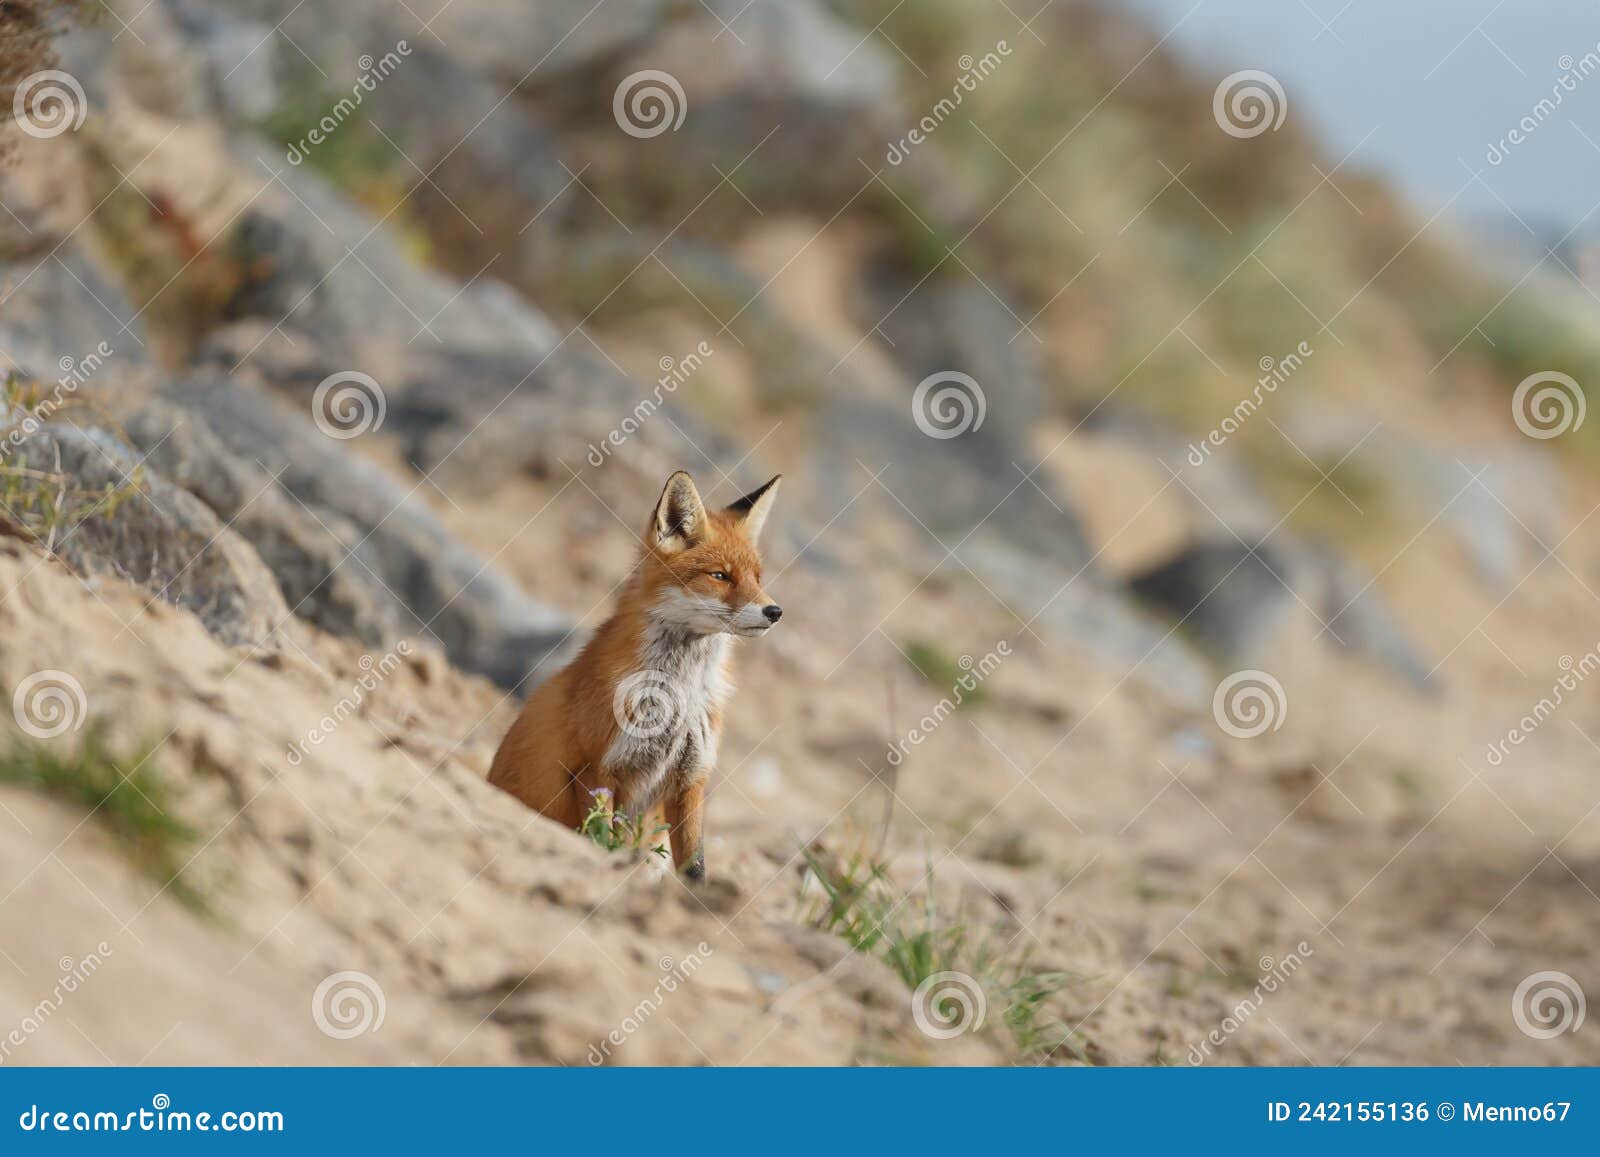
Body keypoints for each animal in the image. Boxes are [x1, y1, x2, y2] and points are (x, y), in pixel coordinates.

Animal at [488, 470, 783, 881]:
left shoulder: (691, 779)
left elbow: (695, 868)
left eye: (757, 578)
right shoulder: (596, 771)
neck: (679, 692)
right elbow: (601, 843)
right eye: (720, 575)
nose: (775, 611)